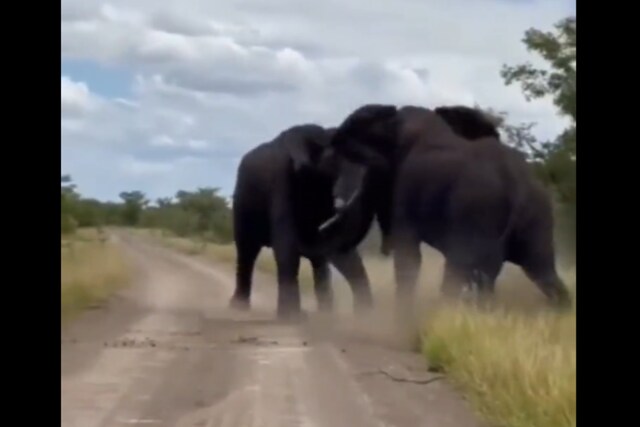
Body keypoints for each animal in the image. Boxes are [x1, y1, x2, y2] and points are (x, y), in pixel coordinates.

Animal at [230, 123, 392, 320]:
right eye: (334, 161)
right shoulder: (282, 178)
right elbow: (287, 245)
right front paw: (292, 317)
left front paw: (365, 319)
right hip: (241, 201)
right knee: (247, 249)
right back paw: (238, 307)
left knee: (319, 261)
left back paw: (325, 314)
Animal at [325, 103, 572, 317]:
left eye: (370, 175)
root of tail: (517, 187)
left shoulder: (407, 188)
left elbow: (408, 256)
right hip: (537, 217)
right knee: (543, 273)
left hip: (477, 210)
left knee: (461, 271)